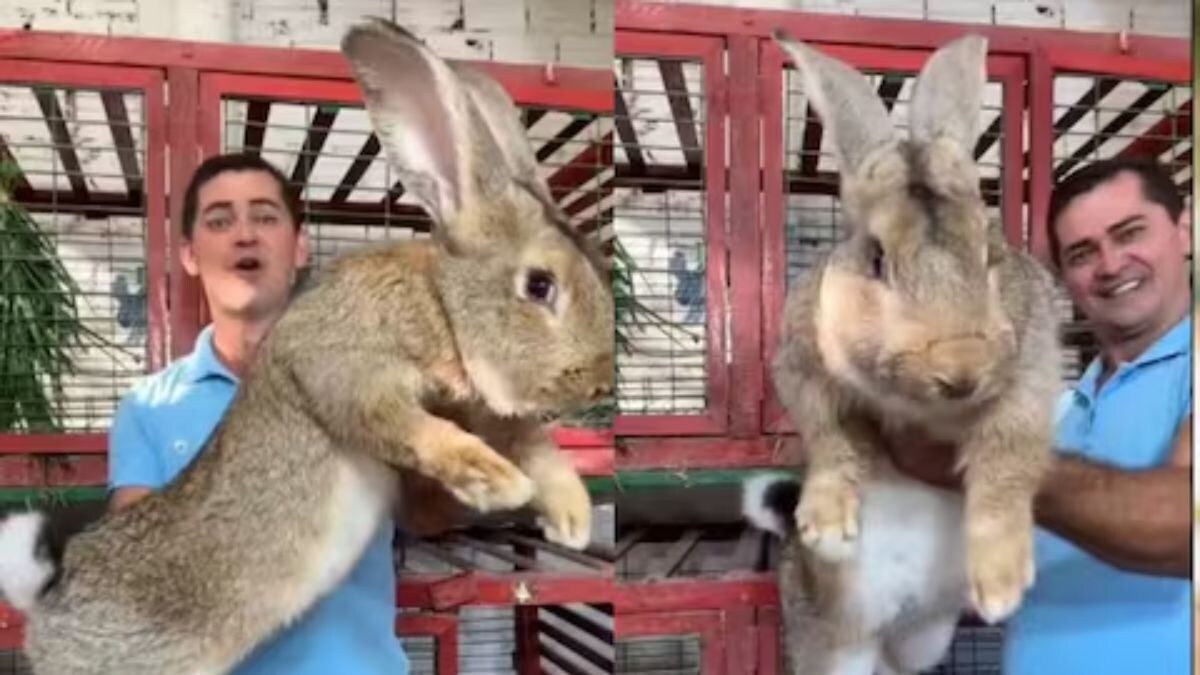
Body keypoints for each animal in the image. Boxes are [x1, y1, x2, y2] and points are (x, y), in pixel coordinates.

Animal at [0, 17, 613, 675]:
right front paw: (497, 480)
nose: (600, 379)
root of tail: (48, 591)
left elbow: (538, 449)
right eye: (539, 285)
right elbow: (417, 430)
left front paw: (571, 517)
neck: (440, 303)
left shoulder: (486, 410)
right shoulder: (345, 371)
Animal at [743, 30, 1062, 675]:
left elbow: (1007, 463)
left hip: (928, 637)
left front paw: (1001, 584)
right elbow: (832, 438)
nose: (962, 368)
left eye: (989, 251)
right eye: (876, 258)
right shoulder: (802, 369)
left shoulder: (1029, 381)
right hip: (838, 649)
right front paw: (826, 525)